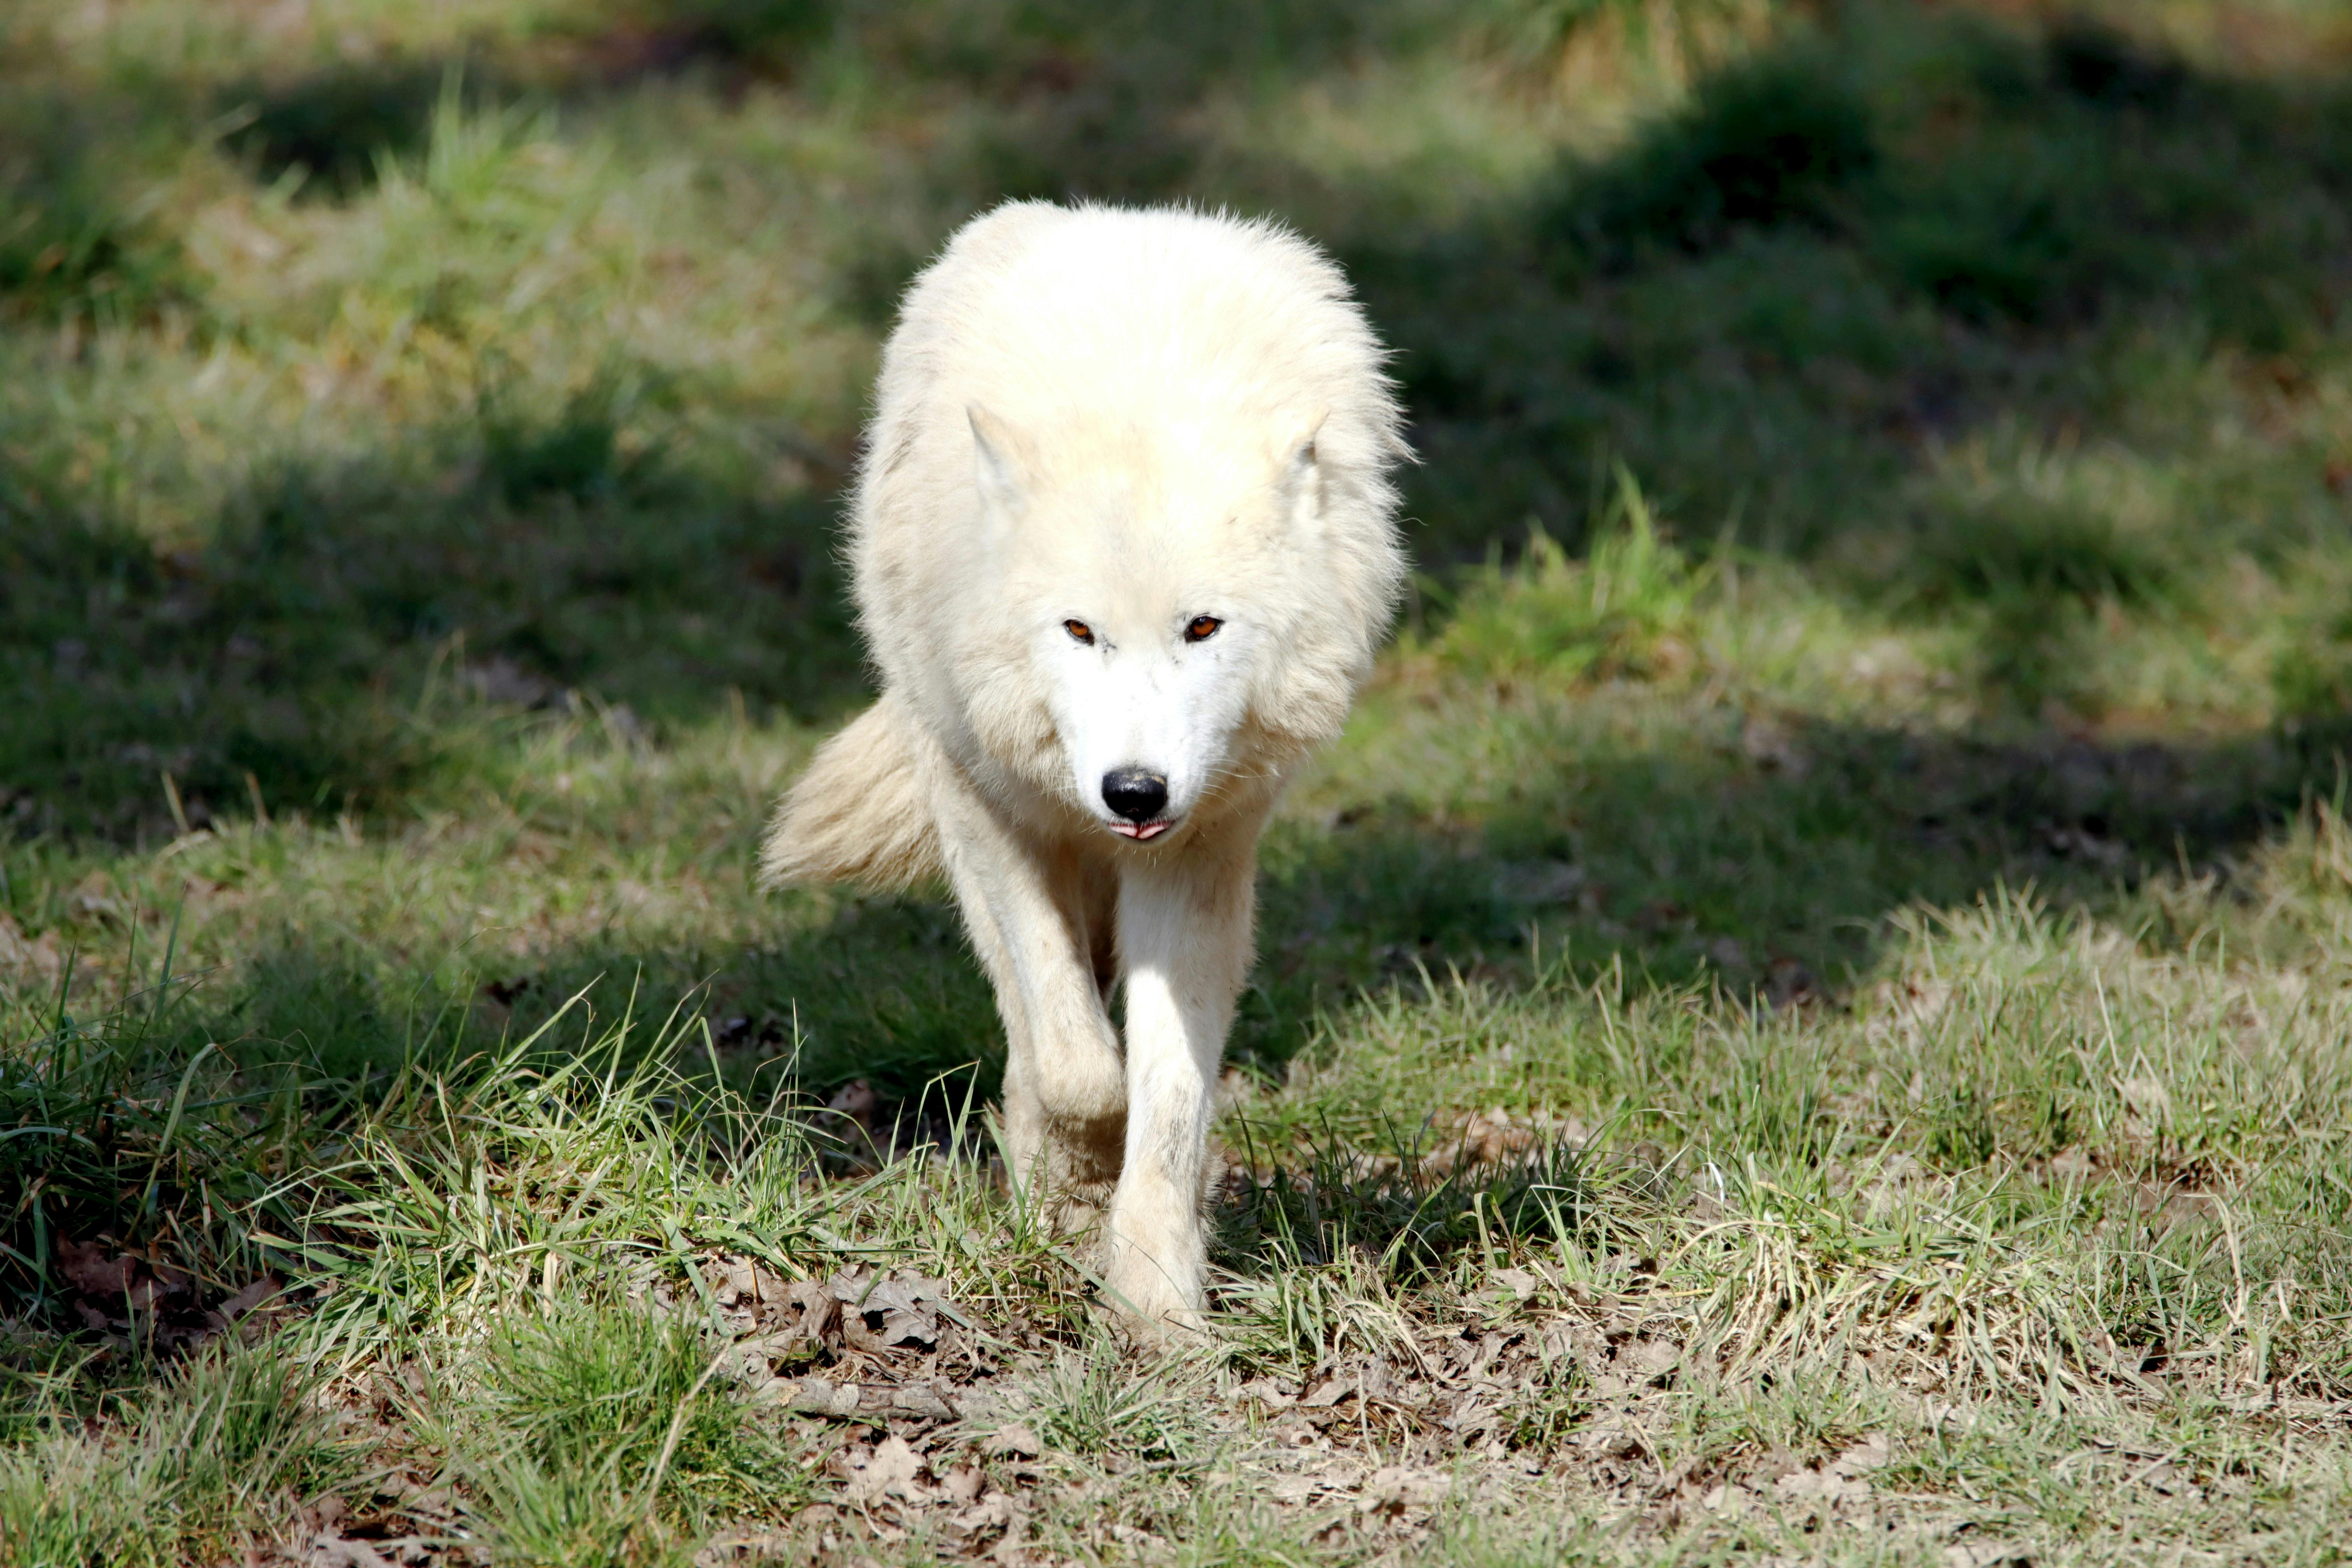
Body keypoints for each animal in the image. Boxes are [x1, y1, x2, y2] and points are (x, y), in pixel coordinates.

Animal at [761, 201, 1407, 1327]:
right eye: (1077, 629)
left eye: (1202, 627)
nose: (1134, 791)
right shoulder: (996, 815)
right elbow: (1077, 1067)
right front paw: (1076, 1178)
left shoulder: (1198, 852)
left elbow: (1170, 1091)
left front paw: (1155, 1298)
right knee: (1032, 1018)